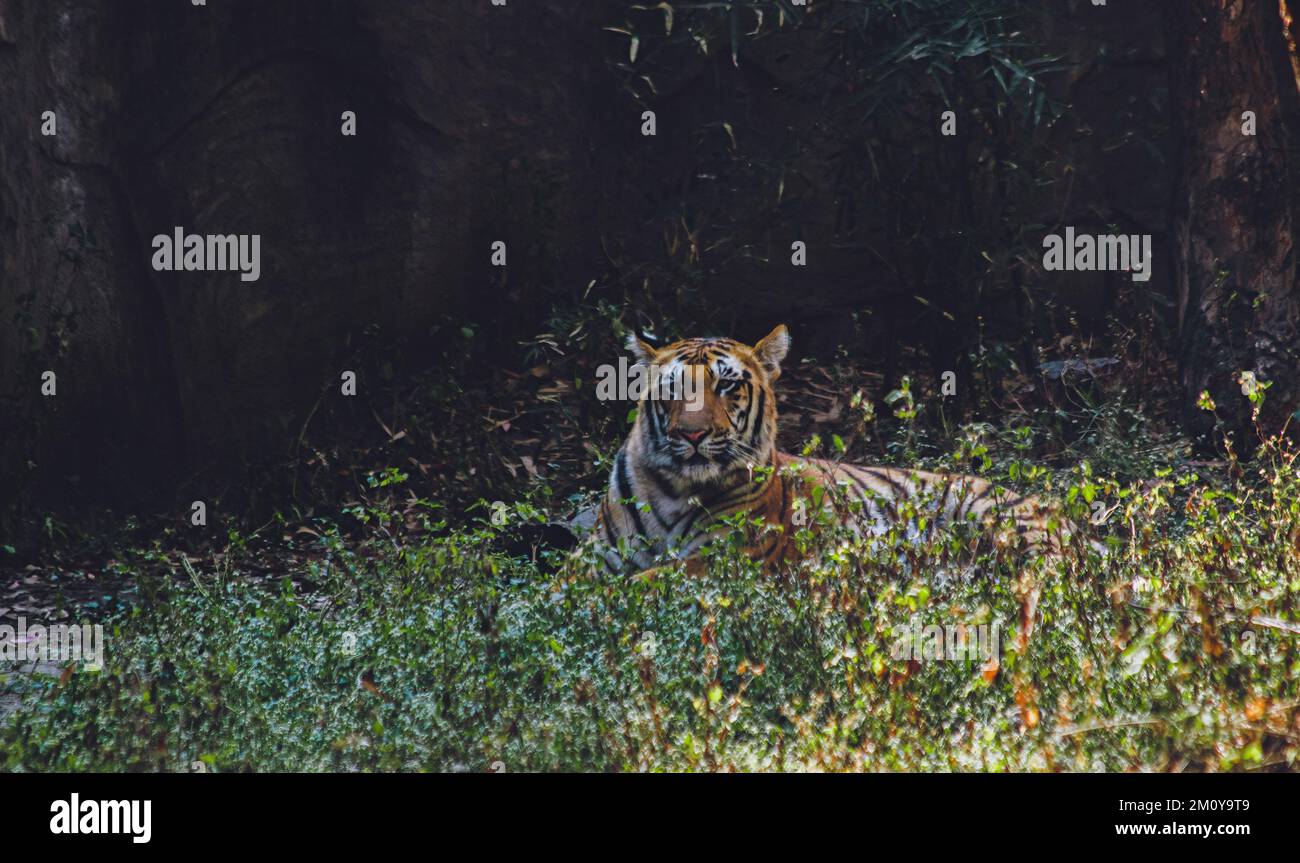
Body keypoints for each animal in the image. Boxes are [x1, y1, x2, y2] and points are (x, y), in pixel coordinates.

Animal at [593, 324, 1078, 579]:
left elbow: (638, 585)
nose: (693, 435)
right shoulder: (600, 559)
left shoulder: (721, 559)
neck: (674, 489)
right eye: (672, 389)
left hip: (1005, 522)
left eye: (727, 386)